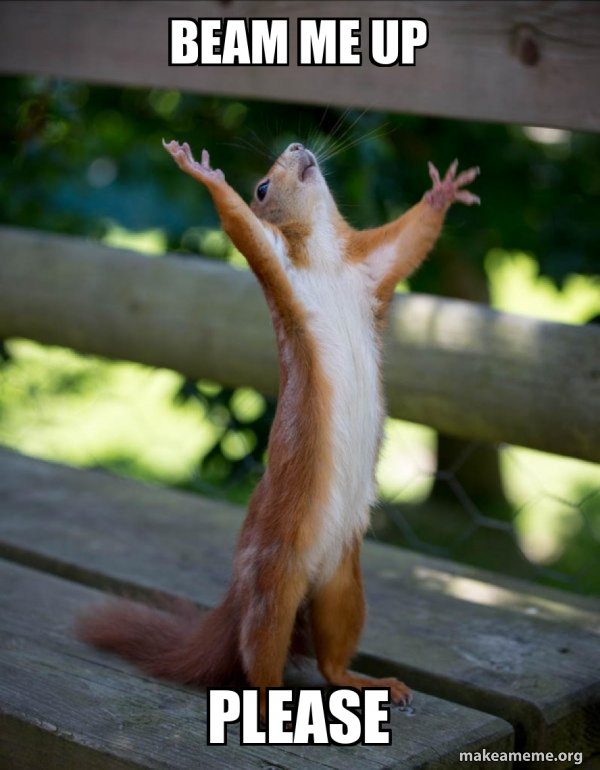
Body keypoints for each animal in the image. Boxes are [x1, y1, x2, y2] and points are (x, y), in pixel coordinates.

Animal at [77, 138, 479, 719]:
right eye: (262, 187)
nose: (296, 146)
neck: (327, 258)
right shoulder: (277, 264)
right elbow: (240, 225)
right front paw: (204, 173)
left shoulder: (371, 267)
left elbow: (410, 240)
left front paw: (443, 192)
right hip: (273, 584)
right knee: (259, 660)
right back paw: (270, 708)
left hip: (343, 586)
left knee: (331, 662)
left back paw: (370, 682)